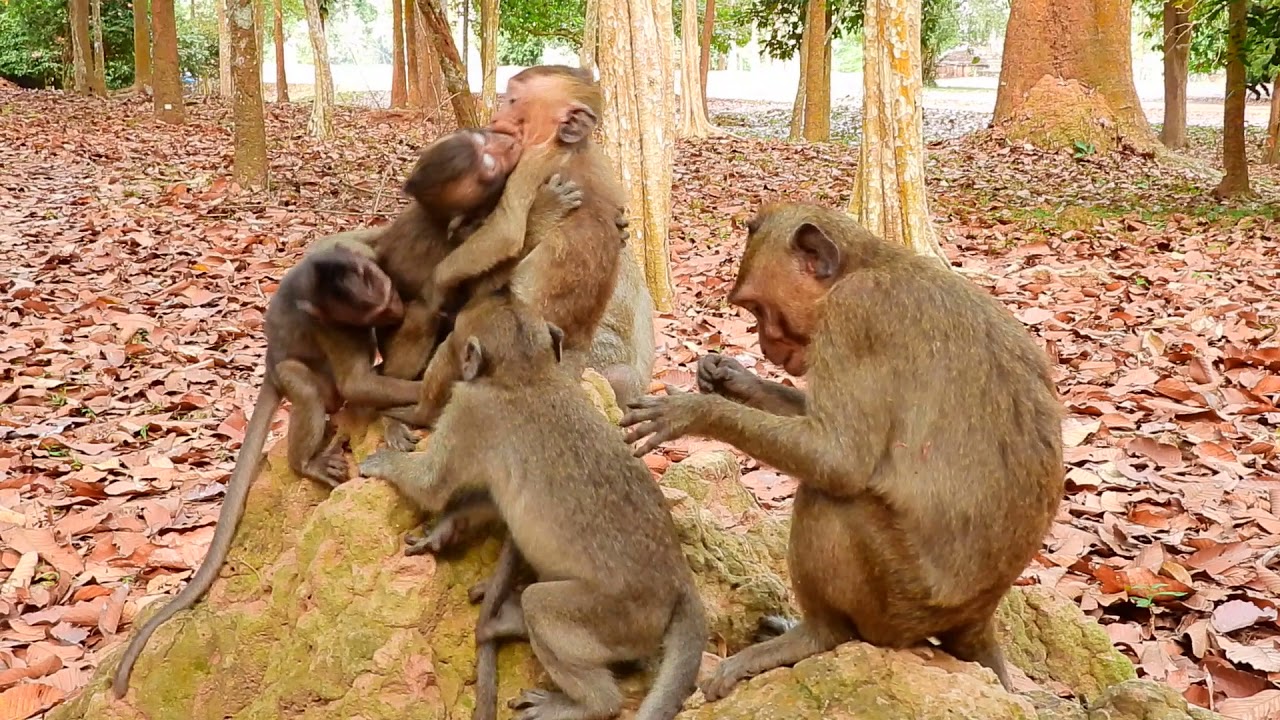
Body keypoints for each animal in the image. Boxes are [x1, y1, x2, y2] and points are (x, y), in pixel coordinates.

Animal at [111, 246, 424, 698]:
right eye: (380, 308)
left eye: (390, 296)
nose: (396, 310)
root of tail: (269, 364)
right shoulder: (332, 323)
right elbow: (357, 381)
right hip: (295, 376)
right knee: (309, 387)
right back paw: (305, 461)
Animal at [359, 289, 707, 720]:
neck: (528, 373)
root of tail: (678, 580)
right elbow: (491, 499)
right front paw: (447, 527)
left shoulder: (470, 409)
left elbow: (432, 485)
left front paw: (384, 464)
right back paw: (509, 621)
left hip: (617, 617)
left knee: (543, 606)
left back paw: (587, 703)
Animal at [619, 202, 1065, 698]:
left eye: (758, 309)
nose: (762, 344)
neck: (869, 264)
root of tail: (979, 616)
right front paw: (731, 377)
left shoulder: (855, 316)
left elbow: (838, 461)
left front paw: (693, 411)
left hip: (899, 603)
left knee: (830, 499)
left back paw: (816, 635)